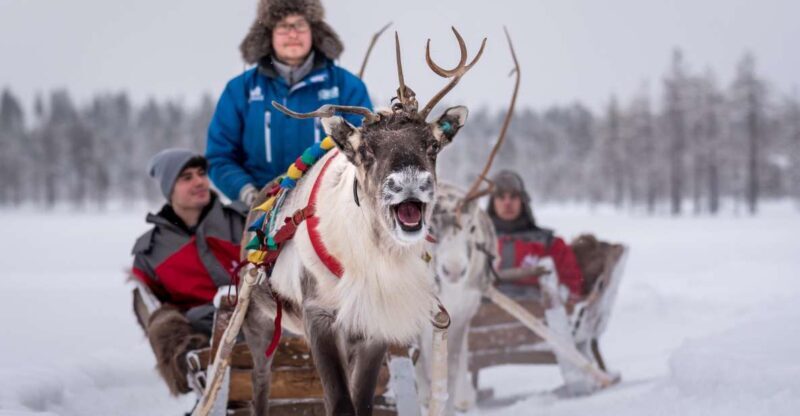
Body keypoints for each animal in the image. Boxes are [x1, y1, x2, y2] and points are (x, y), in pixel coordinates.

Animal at [239, 28, 486, 416]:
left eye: (432, 146)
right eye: (367, 150)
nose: (411, 182)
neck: (376, 257)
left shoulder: (375, 326)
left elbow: (362, 401)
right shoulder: (319, 316)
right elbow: (340, 402)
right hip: (256, 318)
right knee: (260, 383)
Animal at [416, 27, 520, 415]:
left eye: (473, 228)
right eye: (431, 229)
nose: (453, 270)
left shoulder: (464, 314)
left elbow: (456, 371)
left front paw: (462, 401)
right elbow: (425, 379)